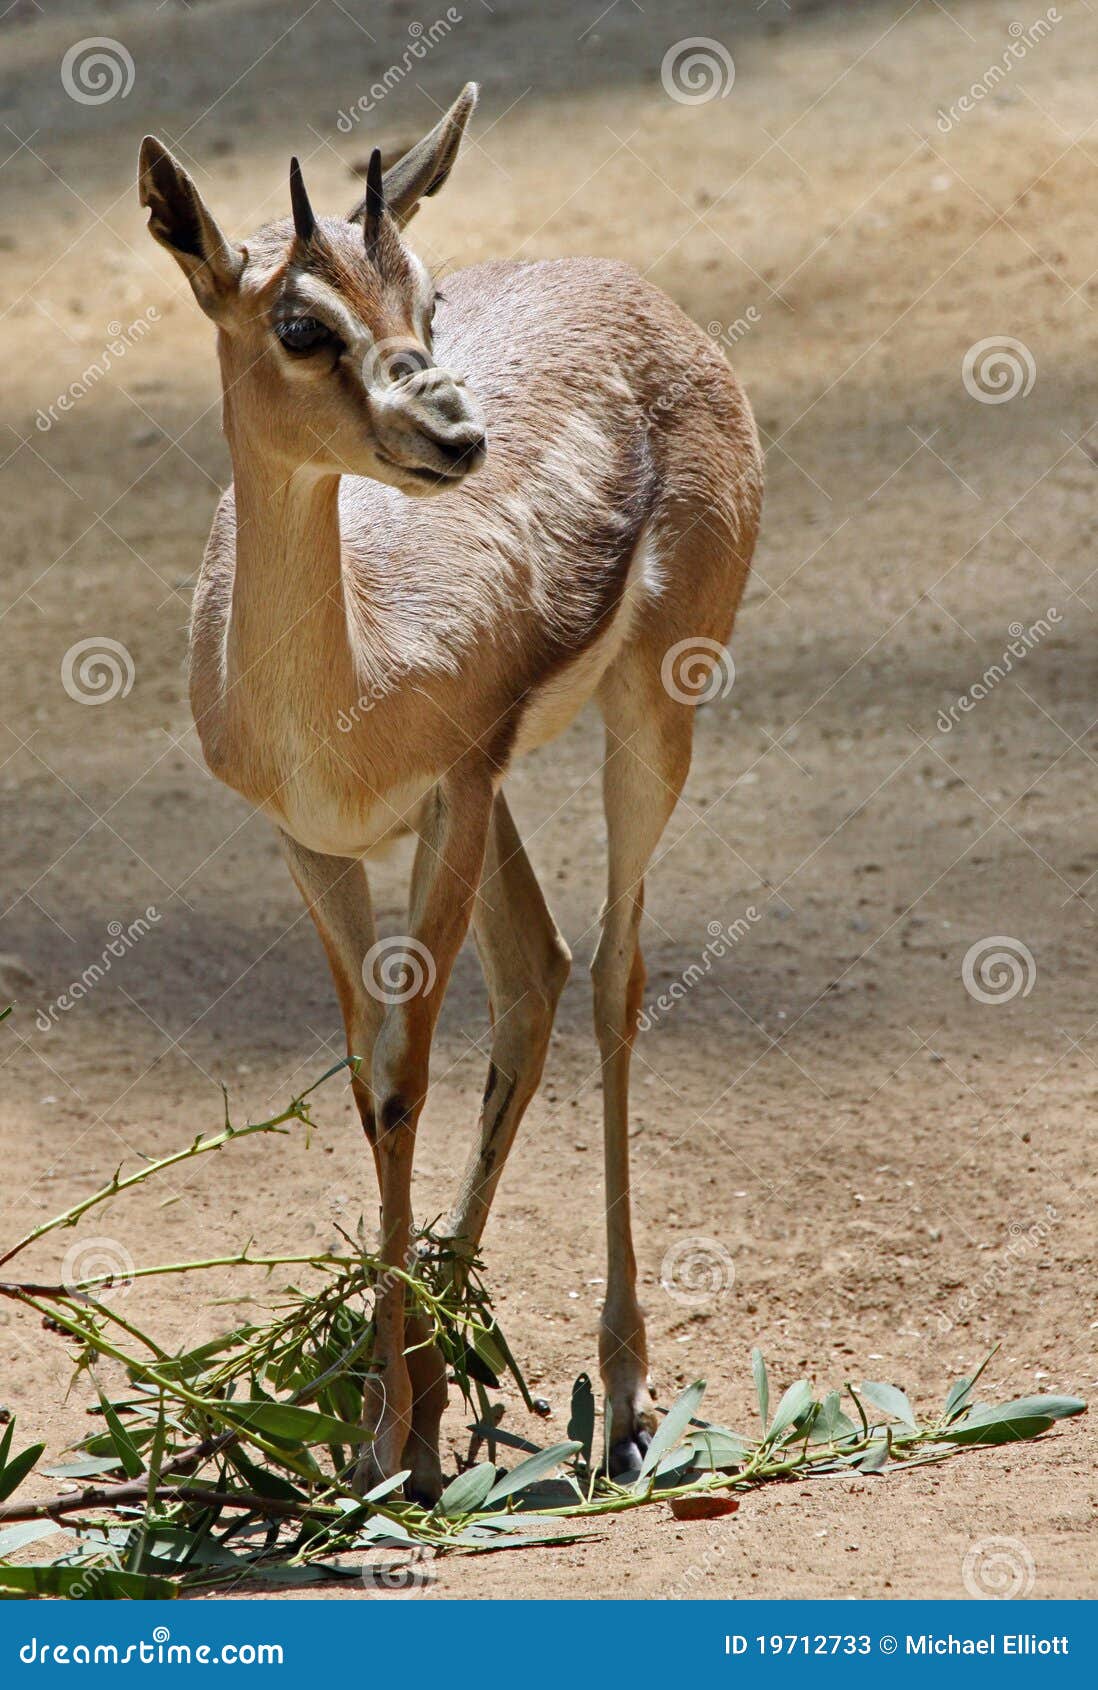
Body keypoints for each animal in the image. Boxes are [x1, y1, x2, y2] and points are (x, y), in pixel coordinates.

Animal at [138, 84, 762, 1502]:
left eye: (425, 298)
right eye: (299, 322)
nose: (455, 434)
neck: (343, 693)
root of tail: (638, 293)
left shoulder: (450, 802)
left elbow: (406, 1077)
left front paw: (394, 1441)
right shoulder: (313, 845)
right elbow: (372, 1073)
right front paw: (380, 1416)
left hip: (651, 716)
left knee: (611, 974)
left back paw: (620, 1398)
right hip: (499, 802)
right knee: (536, 973)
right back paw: (452, 1352)